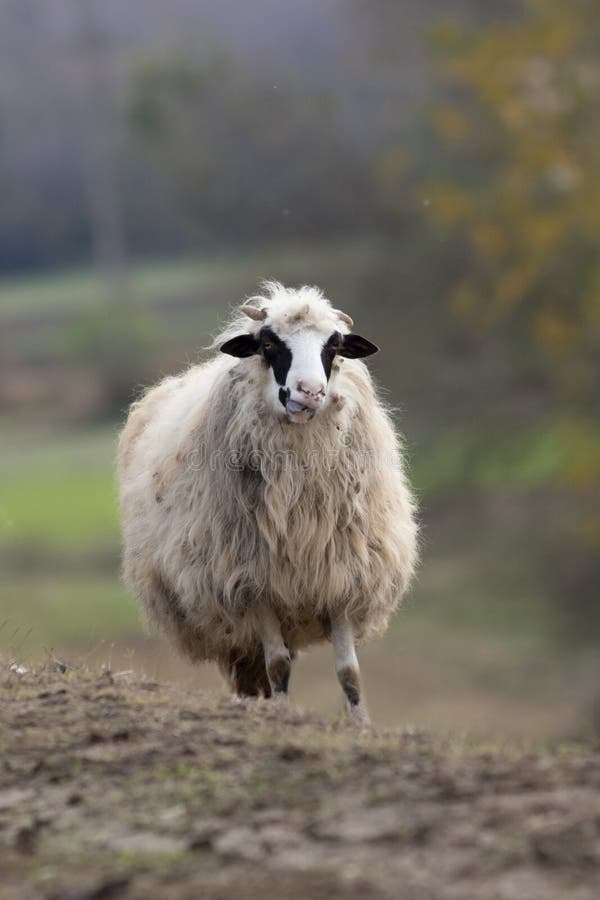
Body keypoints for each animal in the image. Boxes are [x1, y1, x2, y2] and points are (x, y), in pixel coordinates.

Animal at [117, 282, 418, 723]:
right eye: (270, 344)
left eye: (334, 346)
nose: (310, 392)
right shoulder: (252, 585)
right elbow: (278, 666)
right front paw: (280, 714)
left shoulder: (340, 575)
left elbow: (349, 672)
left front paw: (362, 725)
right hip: (228, 609)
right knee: (251, 665)